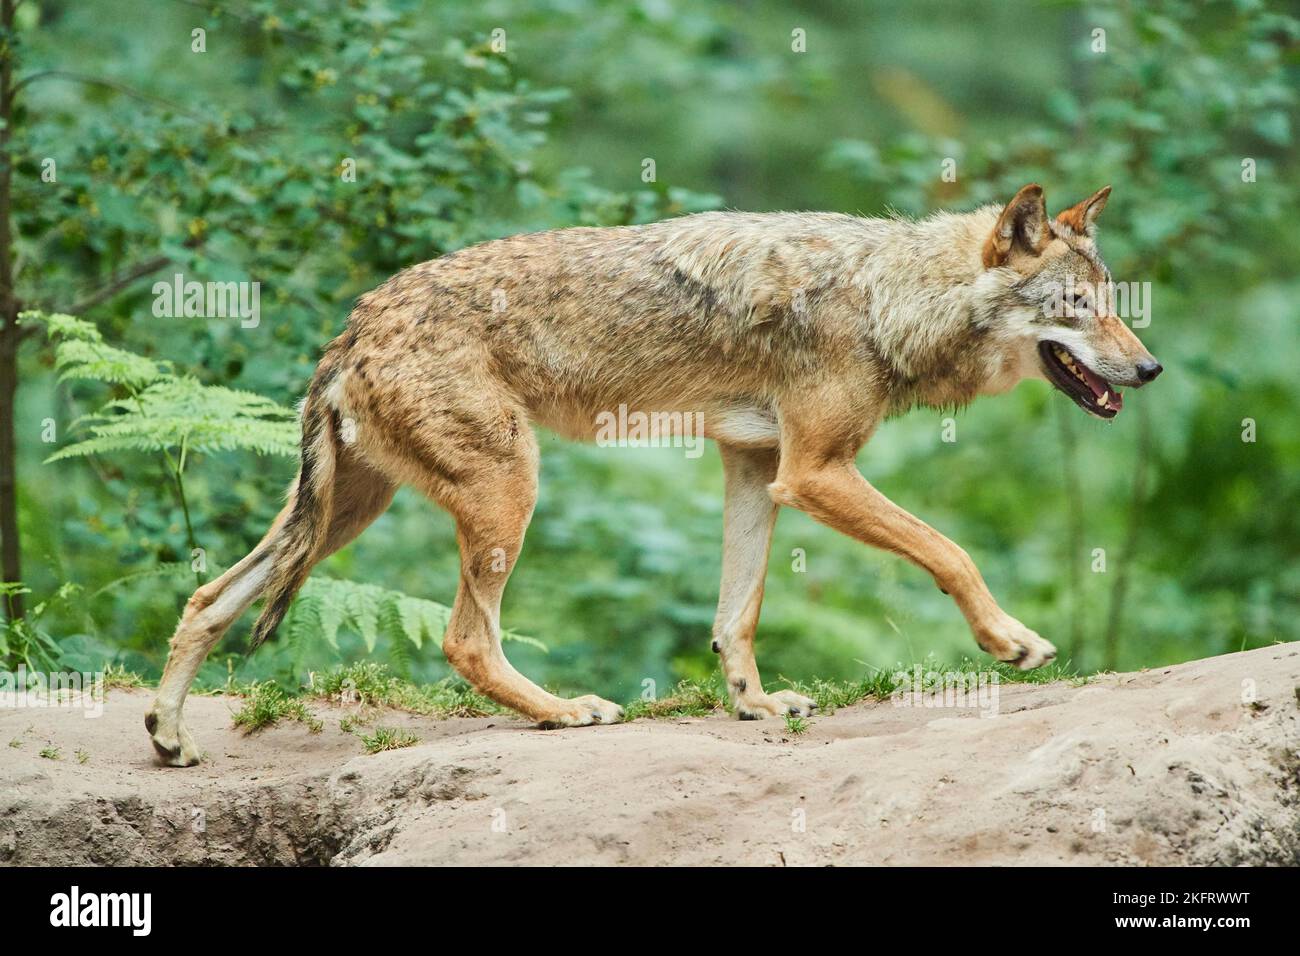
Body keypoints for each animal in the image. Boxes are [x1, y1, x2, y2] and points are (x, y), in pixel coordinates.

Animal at [145, 183, 1161, 766]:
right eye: (1079, 306)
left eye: (1115, 303)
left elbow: (736, 612)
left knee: (205, 597)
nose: (1150, 369)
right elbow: (950, 551)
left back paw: (167, 737)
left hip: (347, 512)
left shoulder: (757, 467)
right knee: (466, 642)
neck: (888, 298)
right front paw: (1010, 641)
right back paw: (565, 713)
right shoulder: (815, 472)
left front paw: (755, 707)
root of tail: (357, 319)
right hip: (506, 493)